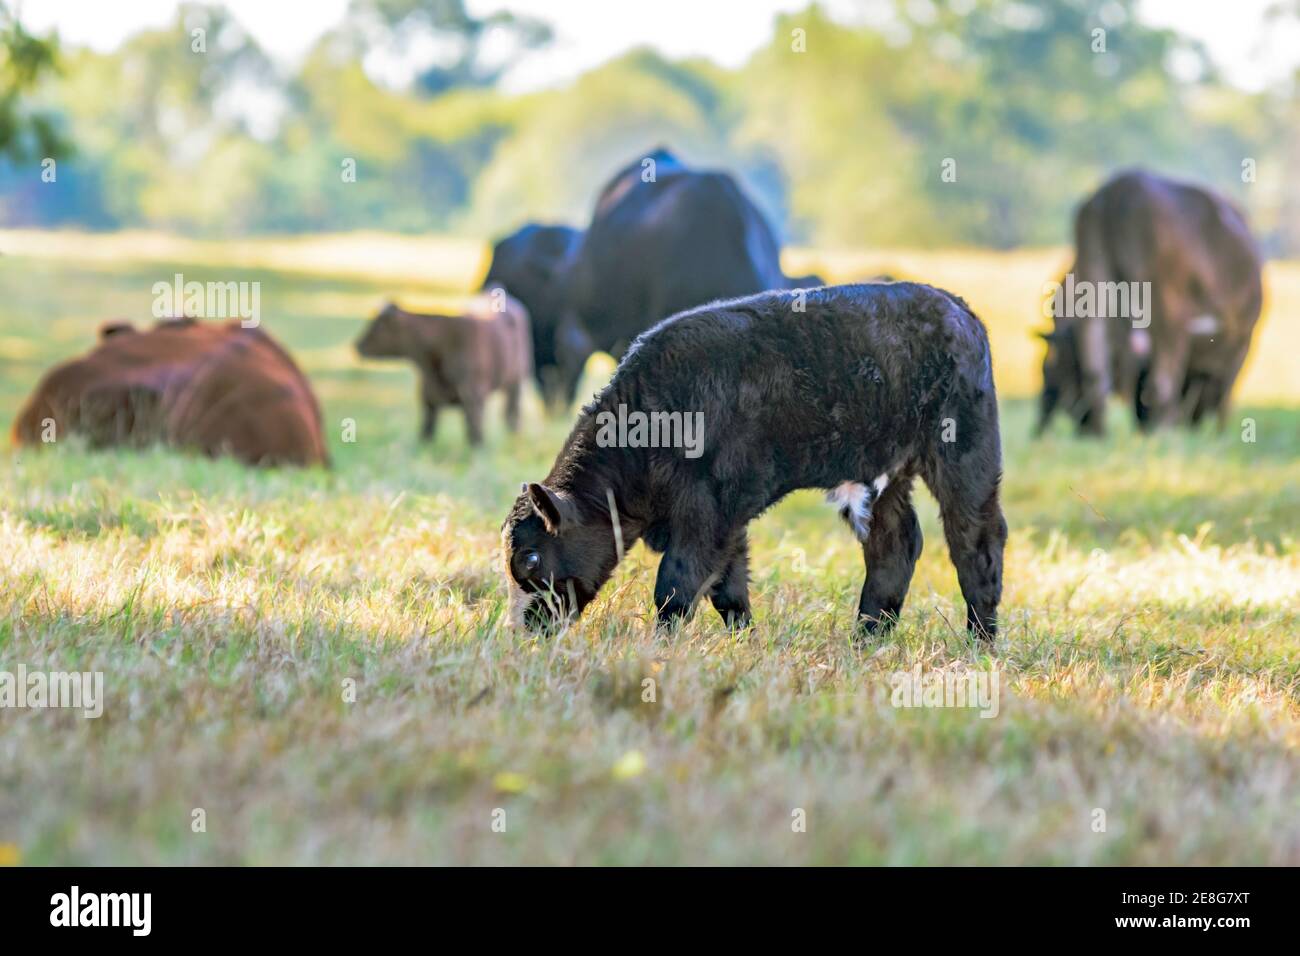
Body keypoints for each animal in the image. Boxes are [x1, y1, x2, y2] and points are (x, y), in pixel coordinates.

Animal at [355, 293, 531, 447]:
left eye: (378, 324)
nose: (357, 345)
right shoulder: (428, 398)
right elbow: (427, 433)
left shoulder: (474, 397)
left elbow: (475, 436)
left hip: (515, 382)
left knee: (512, 415)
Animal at [502, 282, 1007, 641]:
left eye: (531, 556)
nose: (527, 628)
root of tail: (957, 308)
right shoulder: (726, 520)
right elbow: (729, 588)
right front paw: (744, 642)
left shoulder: (708, 511)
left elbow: (676, 584)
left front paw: (660, 645)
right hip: (885, 475)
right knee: (895, 544)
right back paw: (867, 638)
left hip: (965, 456)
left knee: (976, 540)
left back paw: (979, 642)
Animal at [1037, 169, 1263, 436]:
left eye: (1054, 370)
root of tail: (1118, 188)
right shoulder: (1239, 346)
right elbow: (1222, 397)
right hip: (1169, 314)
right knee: (1163, 383)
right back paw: (1165, 432)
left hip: (1096, 285)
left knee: (1097, 370)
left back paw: (1100, 433)